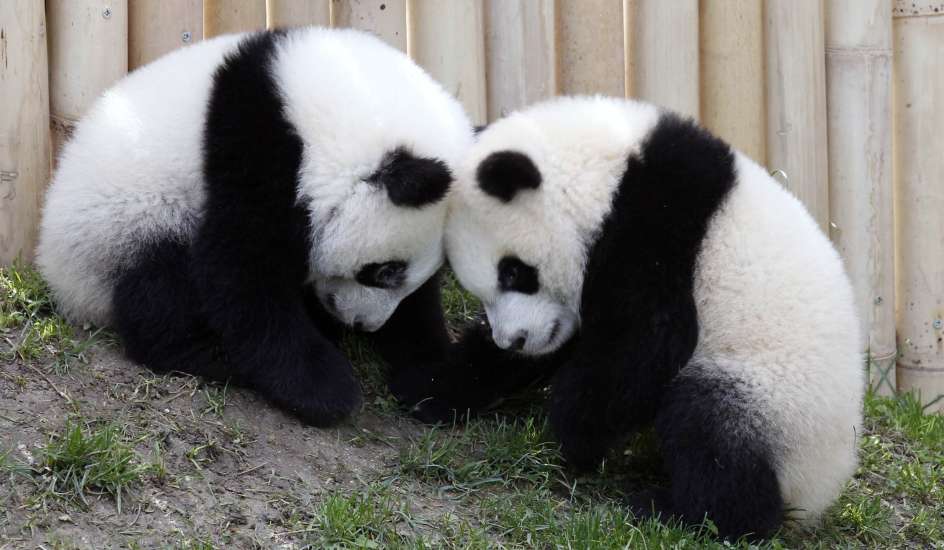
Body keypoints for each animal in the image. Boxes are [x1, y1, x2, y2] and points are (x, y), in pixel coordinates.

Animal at [36, 27, 473, 427]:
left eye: (401, 274)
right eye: (383, 270)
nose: (365, 324)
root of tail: (60, 278)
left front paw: (433, 381)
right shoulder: (256, 144)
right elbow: (241, 268)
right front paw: (324, 389)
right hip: (125, 222)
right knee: (159, 285)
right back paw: (209, 352)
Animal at [438, 96, 863, 539]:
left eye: (513, 272)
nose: (515, 340)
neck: (602, 175)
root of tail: (818, 490)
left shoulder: (657, 225)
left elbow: (650, 341)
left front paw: (574, 436)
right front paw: (446, 387)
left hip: (776, 399)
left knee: (709, 427)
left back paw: (682, 512)